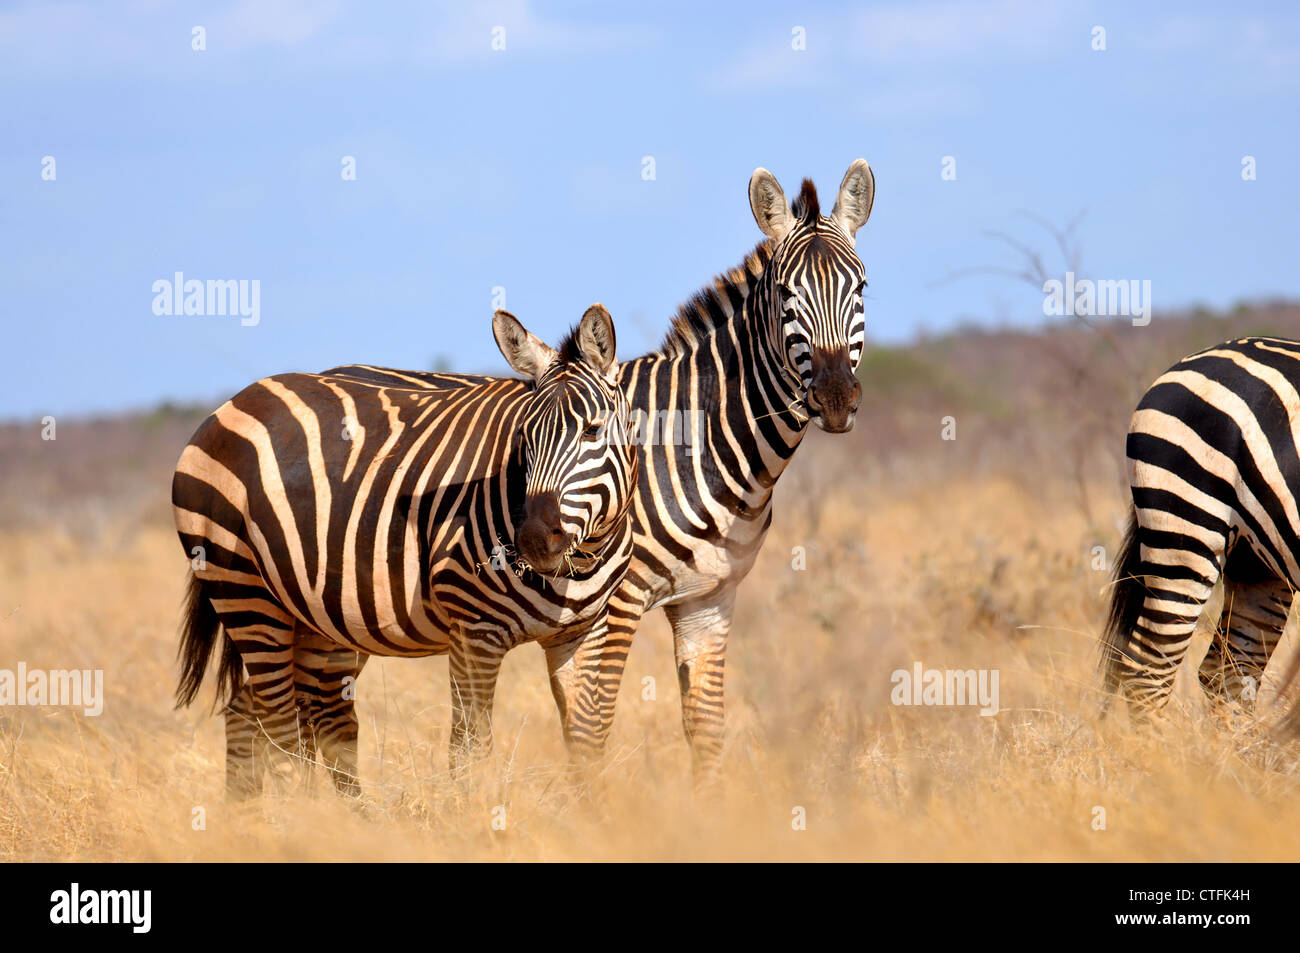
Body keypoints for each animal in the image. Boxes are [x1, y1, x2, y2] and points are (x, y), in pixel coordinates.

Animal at [172, 304, 638, 794]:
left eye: (593, 432)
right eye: (523, 440)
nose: (531, 541)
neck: (578, 566)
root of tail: (235, 401)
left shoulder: (584, 630)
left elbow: (586, 741)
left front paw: (592, 810)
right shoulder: (475, 632)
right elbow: (469, 751)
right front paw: (476, 813)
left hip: (315, 615)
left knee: (268, 713)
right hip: (243, 590)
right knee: (279, 725)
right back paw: (295, 812)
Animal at [317, 160, 877, 787]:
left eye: (862, 288)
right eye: (785, 295)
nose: (835, 398)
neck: (703, 446)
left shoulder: (710, 599)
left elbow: (704, 729)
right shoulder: (618, 602)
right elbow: (595, 721)